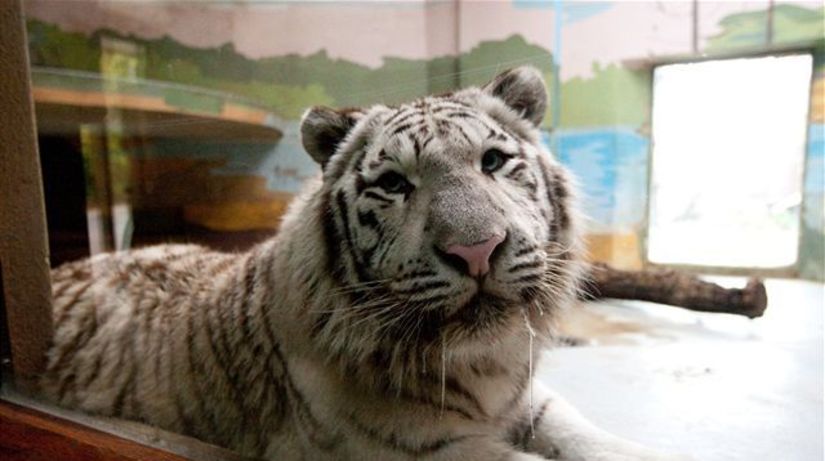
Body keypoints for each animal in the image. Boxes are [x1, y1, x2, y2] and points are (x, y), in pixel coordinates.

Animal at [41, 67, 688, 461]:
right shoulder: (419, 447)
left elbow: (583, 434)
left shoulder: (528, 399)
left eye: (493, 161)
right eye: (395, 184)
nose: (477, 249)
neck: (482, 367)